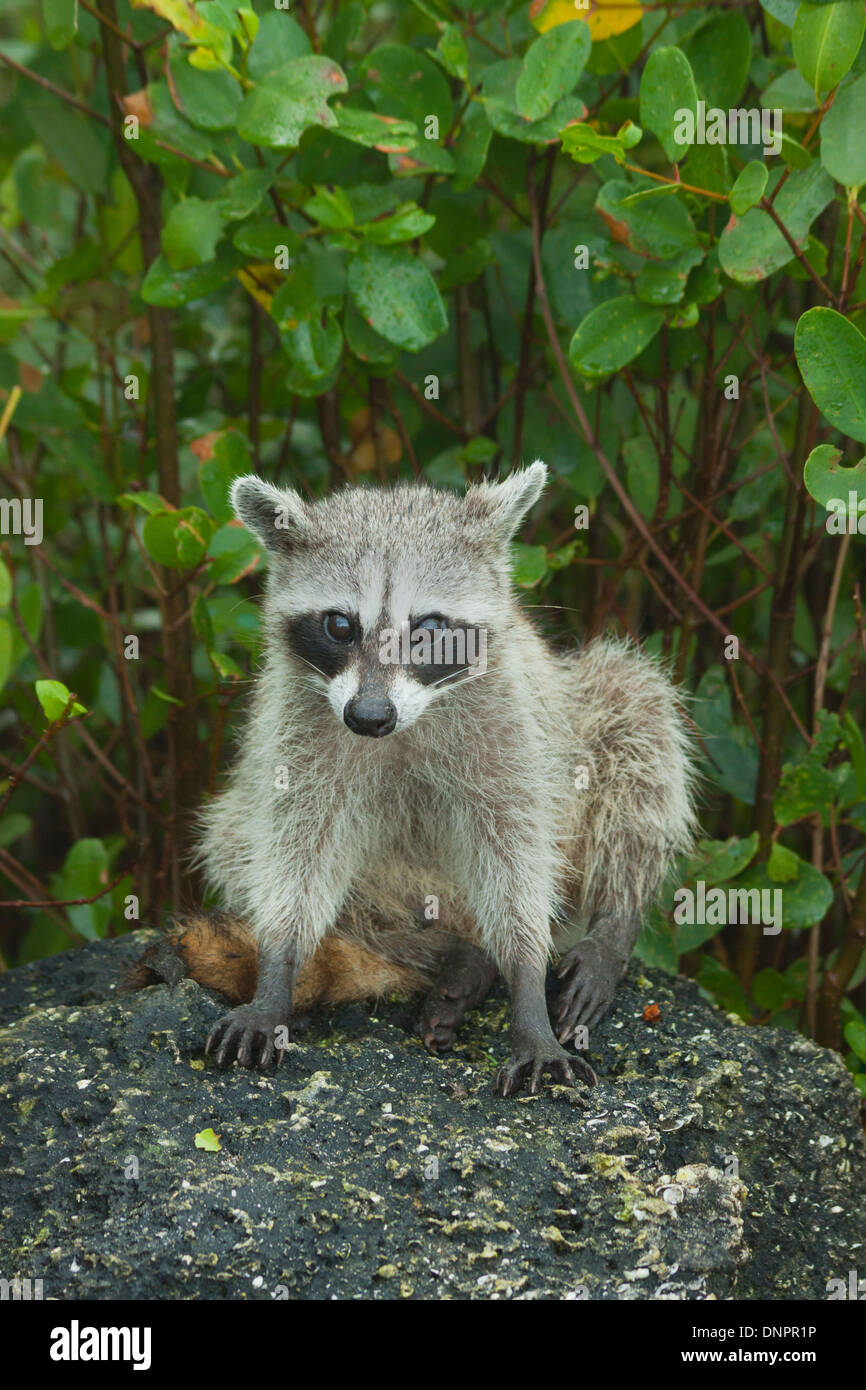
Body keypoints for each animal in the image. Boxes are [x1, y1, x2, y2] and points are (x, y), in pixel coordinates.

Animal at [180, 462, 696, 1096]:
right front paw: (278, 967)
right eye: (339, 625)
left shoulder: (508, 725)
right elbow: (298, 849)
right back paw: (451, 955)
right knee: (234, 843)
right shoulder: (299, 730)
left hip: (577, 717)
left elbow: (517, 854)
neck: (406, 720)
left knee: (636, 711)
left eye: (426, 628)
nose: (368, 718)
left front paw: (528, 987)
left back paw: (614, 921)